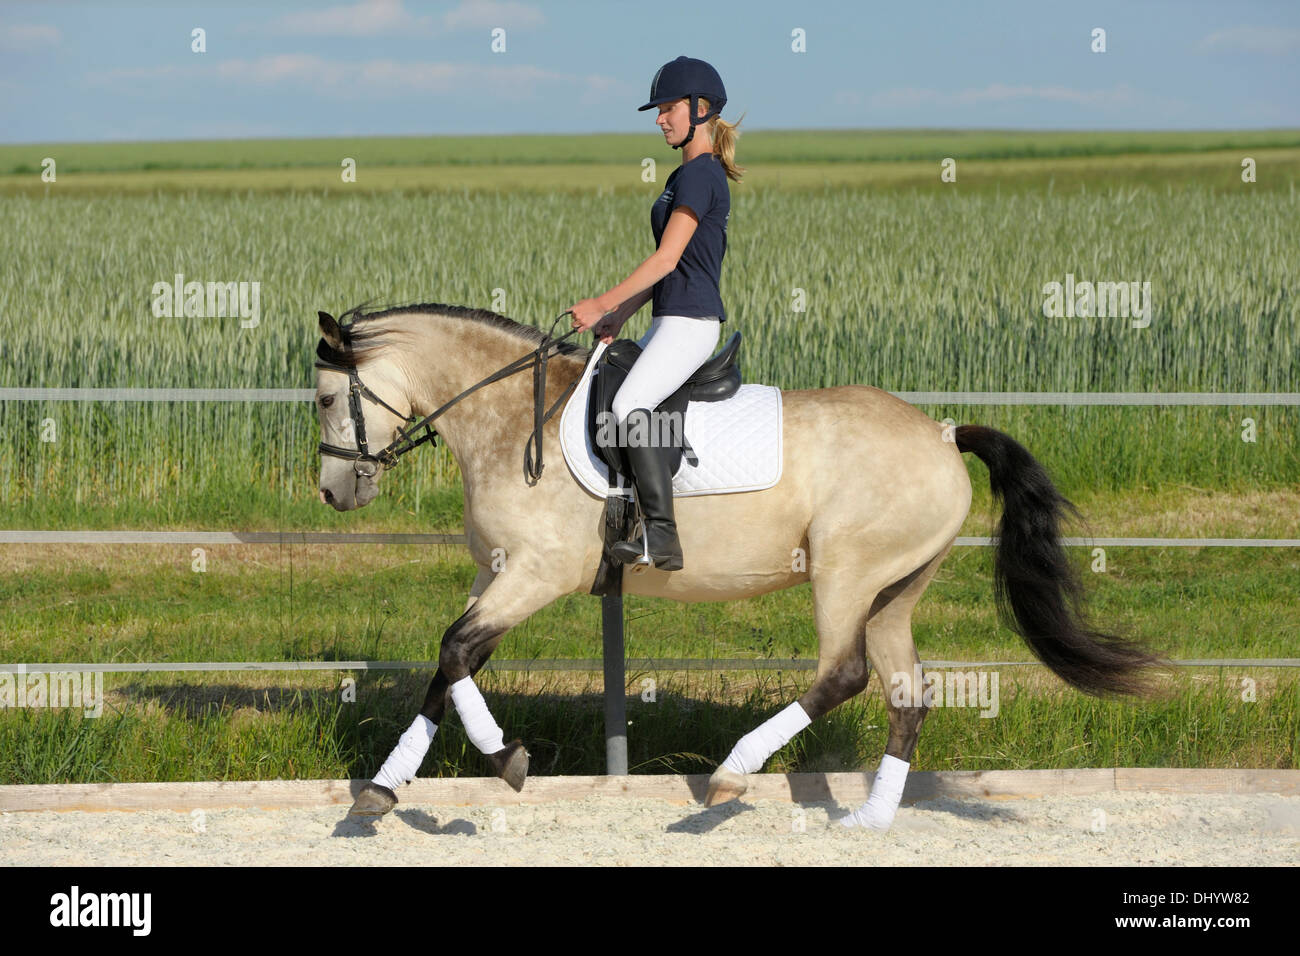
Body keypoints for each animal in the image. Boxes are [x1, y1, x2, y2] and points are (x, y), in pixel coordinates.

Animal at [312, 302, 1157, 831]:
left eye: (323, 399)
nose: (333, 491)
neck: (515, 416)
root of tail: (943, 434)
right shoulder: (497, 572)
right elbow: (449, 663)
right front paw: (382, 790)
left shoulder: (538, 573)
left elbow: (456, 650)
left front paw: (507, 759)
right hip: (894, 590)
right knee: (906, 697)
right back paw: (869, 819)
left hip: (845, 574)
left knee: (843, 674)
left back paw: (729, 775)